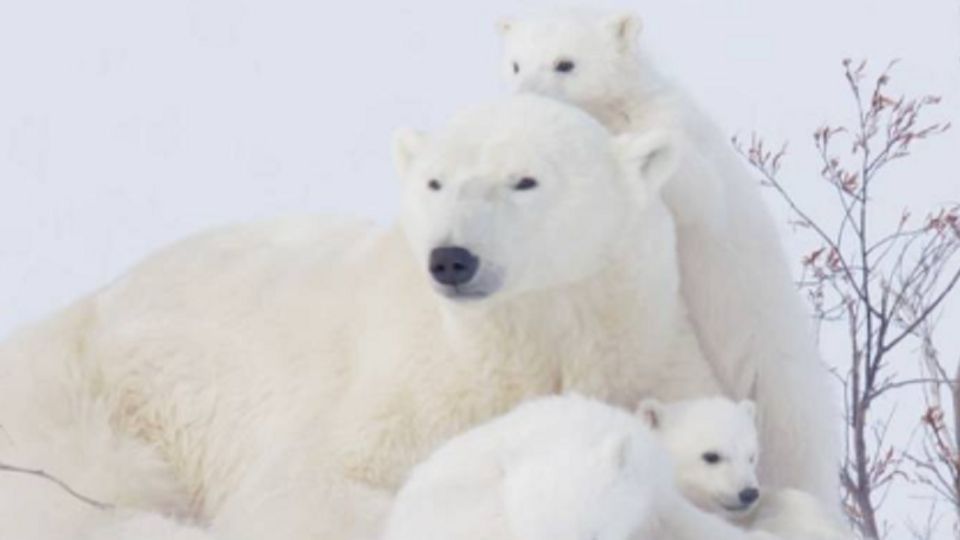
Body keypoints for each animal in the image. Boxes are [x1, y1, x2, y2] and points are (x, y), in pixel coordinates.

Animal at [0, 94, 720, 539]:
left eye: (525, 180)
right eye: (435, 181)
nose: (451, 259)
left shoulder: (649, 356)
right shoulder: (401, 385)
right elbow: (308, 490)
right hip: (82, 392)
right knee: (71, 495)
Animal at [498, 11, 841, 503]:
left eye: (565, 63)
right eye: (516, 64)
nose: (524, 95)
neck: (624, 102)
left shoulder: (681, 133)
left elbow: (696, 187)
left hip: (780, 384)